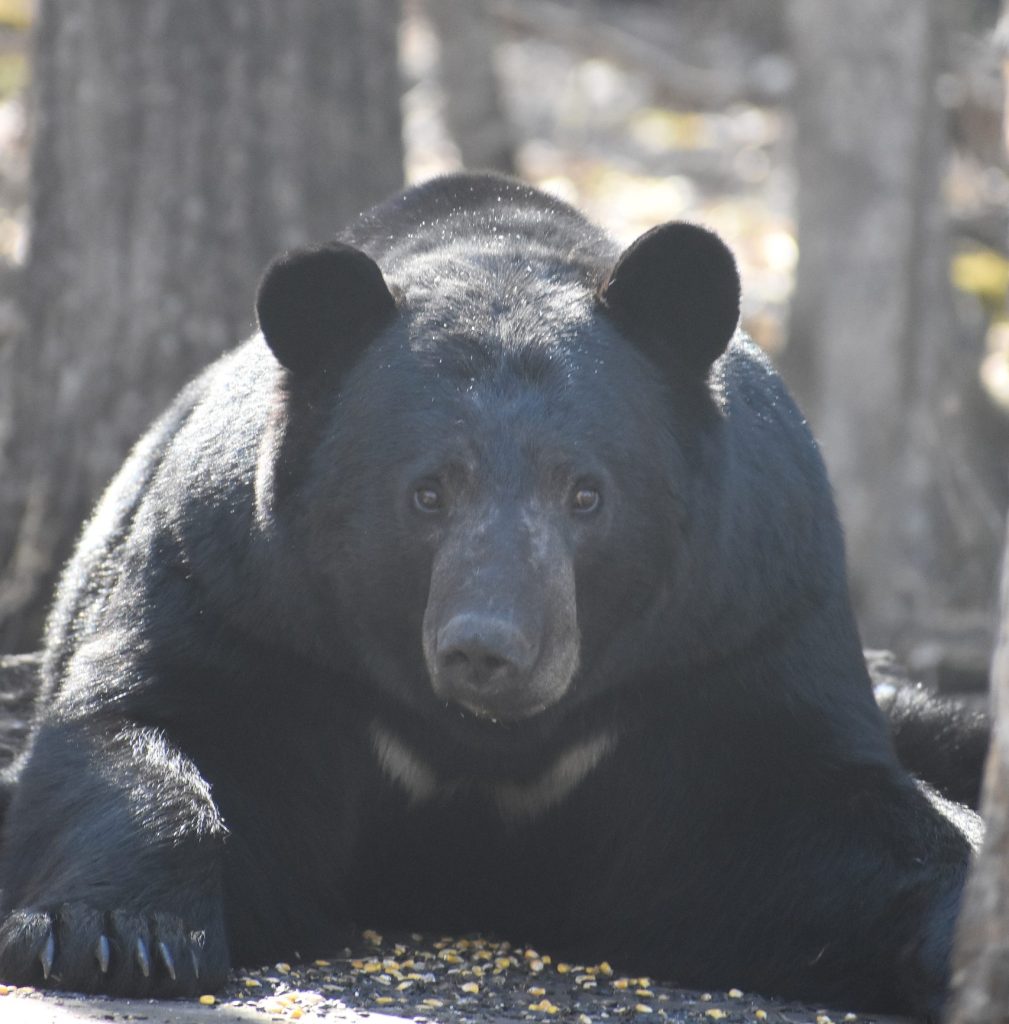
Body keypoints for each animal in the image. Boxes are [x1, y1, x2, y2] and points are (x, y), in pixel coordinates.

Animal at [0, 173, 980, 1014]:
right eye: (427, 492)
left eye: (585, 494)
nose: (487, 649)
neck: (489, 737)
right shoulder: (245, 598)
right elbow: (152, 722)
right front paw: (115, 932)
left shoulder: (738, 625)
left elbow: (801, 809)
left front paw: (956, 936)